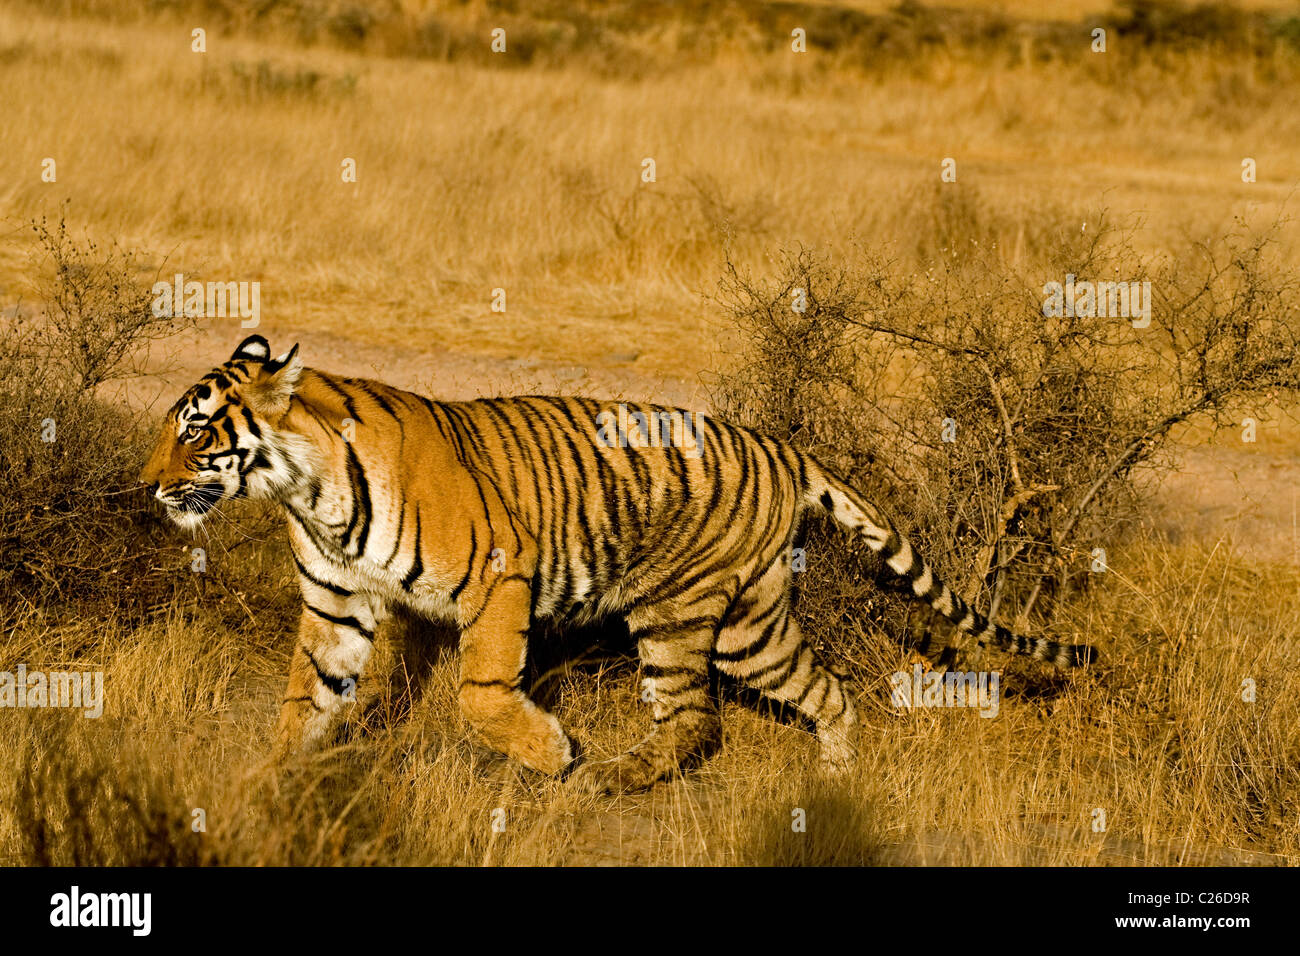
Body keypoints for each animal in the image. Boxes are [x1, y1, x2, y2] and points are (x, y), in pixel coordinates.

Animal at [140, 334, 1095, 793]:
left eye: (195, 431)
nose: (147, 485)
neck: (306, 490)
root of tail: (783, 446)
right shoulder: (338, 603)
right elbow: (304, 699)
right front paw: (266, 779)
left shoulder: (501, 573)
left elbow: (480, 692)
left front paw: (550, 750)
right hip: (743, 623)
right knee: (781, 700)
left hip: (690, 614)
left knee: (719, 713)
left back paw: (617, 777)